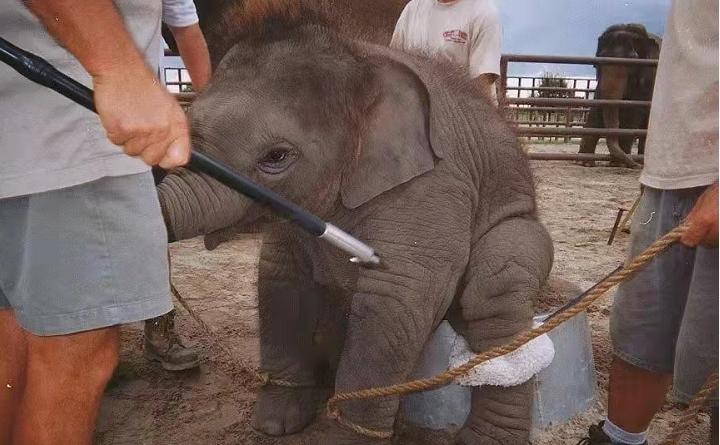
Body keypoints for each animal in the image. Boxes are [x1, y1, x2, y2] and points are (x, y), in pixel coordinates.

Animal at [157, 3, 553, 444]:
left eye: (276, 157)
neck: (360, 57)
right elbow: (279, 278)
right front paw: (276, 424)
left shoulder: (435, 183)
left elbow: (396, 297)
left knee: (498, 287)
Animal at [578, 24, 661, 168]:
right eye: (599, 60)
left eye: (633, 60)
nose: (635, 166)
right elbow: (596, 111)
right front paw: (584, 163)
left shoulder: (649, 80)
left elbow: (632, 114)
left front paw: (617, 164)